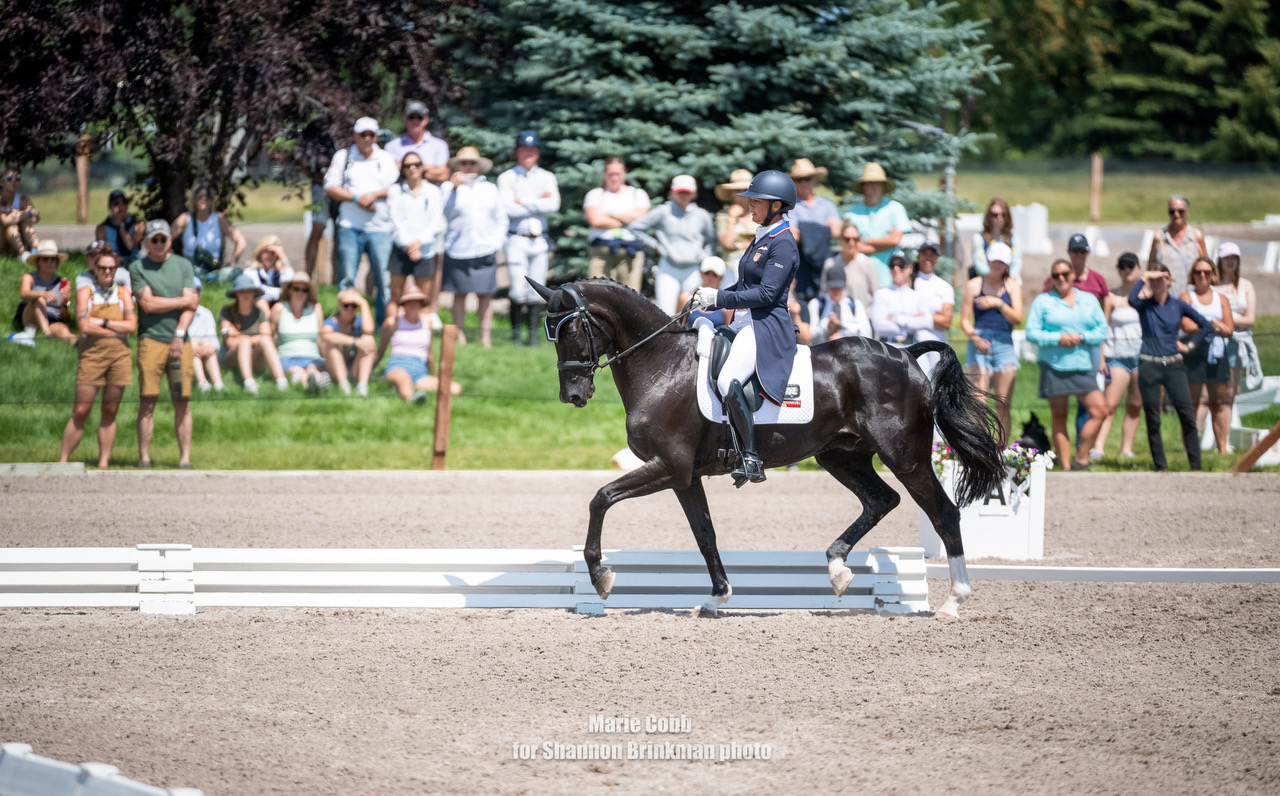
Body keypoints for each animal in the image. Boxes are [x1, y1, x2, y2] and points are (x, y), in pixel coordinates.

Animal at [528, 277, 1006, 616]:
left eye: (572, 330)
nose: (573, 395)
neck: (661, 364)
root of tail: (905, 354)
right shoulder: (684, 476)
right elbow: (704, 533)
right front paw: (718, 597)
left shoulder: (669, 466)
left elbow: (601, 497)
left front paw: (600, 576)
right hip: (841, 455)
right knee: (881, 499)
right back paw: (837, 569)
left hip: (905, 457)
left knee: (943, 512)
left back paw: (953, 601)